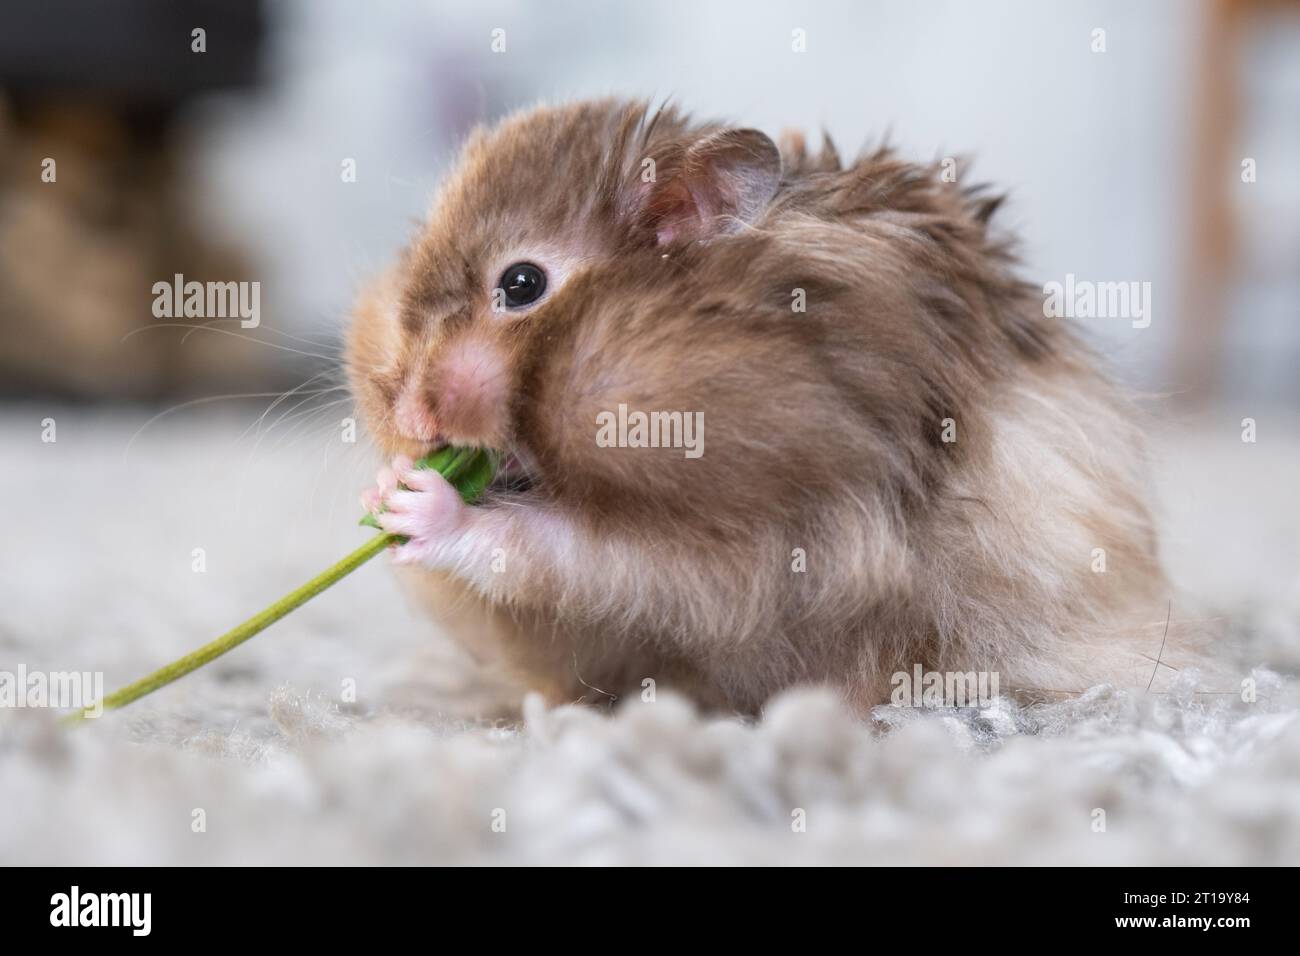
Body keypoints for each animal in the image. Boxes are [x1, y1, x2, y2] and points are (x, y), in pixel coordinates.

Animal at [347, 98, 1214, 714]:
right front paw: (384, 489)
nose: (412, 421)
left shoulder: (775, 539)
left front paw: (416, 505)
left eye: (522, 284)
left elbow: (562, 551)